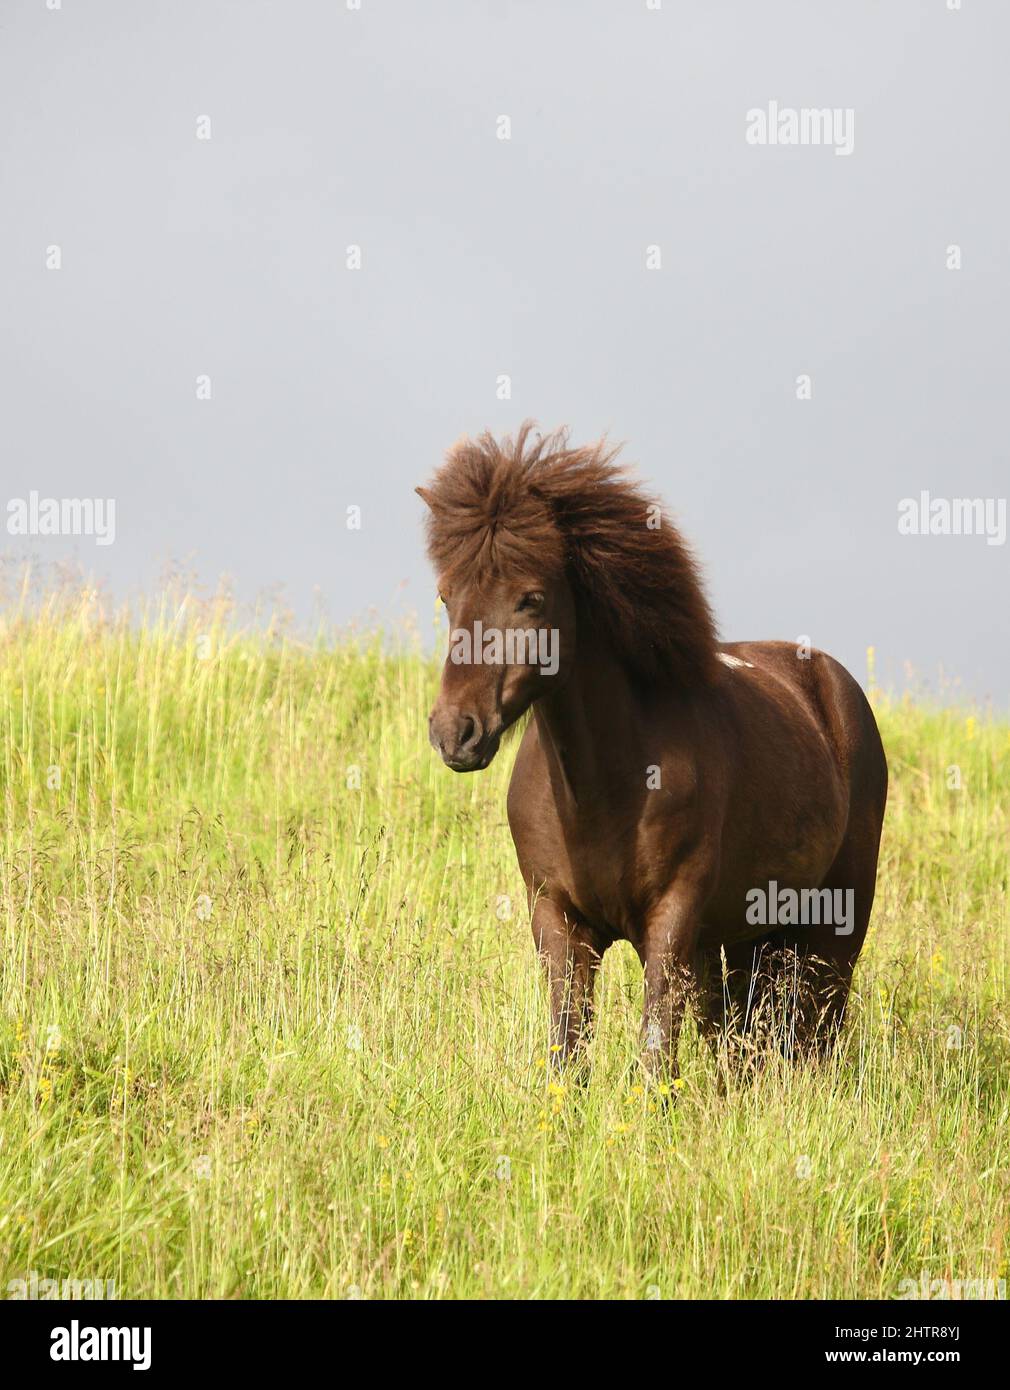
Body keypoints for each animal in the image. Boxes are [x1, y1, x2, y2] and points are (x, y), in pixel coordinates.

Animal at [416, 424, 887, 1080]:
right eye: (445, 596)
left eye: (531, 598)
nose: (454, 732)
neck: (601, 788)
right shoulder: (559, 923)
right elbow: (569, 1051)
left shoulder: (672, 919)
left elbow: (656, 1054)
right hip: (743, 937)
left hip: (835, 923)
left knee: (815, 1030)